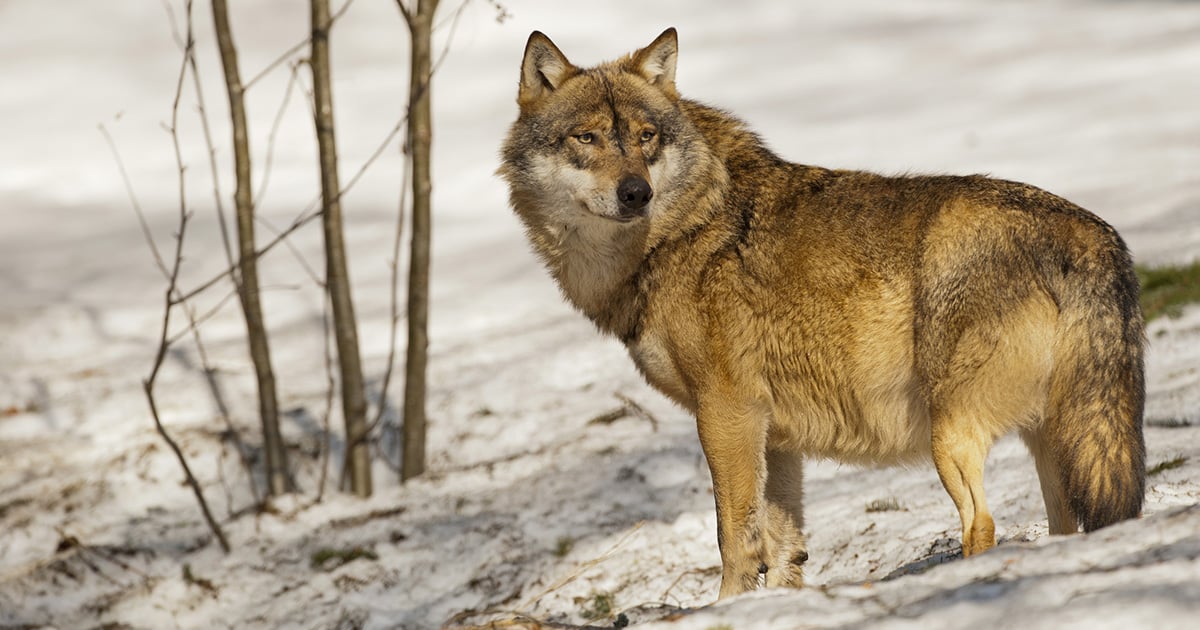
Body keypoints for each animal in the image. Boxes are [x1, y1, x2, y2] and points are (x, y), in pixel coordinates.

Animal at [499, 28, 1146, 598]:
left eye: (646, 135)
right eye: (586, 137)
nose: (636, 192)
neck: (678, 232)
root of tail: (1090, 235)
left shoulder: (726, 414)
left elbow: (734, 537)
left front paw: (725, 607)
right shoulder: (775, 434)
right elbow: (783, 548)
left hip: (953, 435)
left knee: (981, 525)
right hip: (1052, 440)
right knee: (1065, 526)